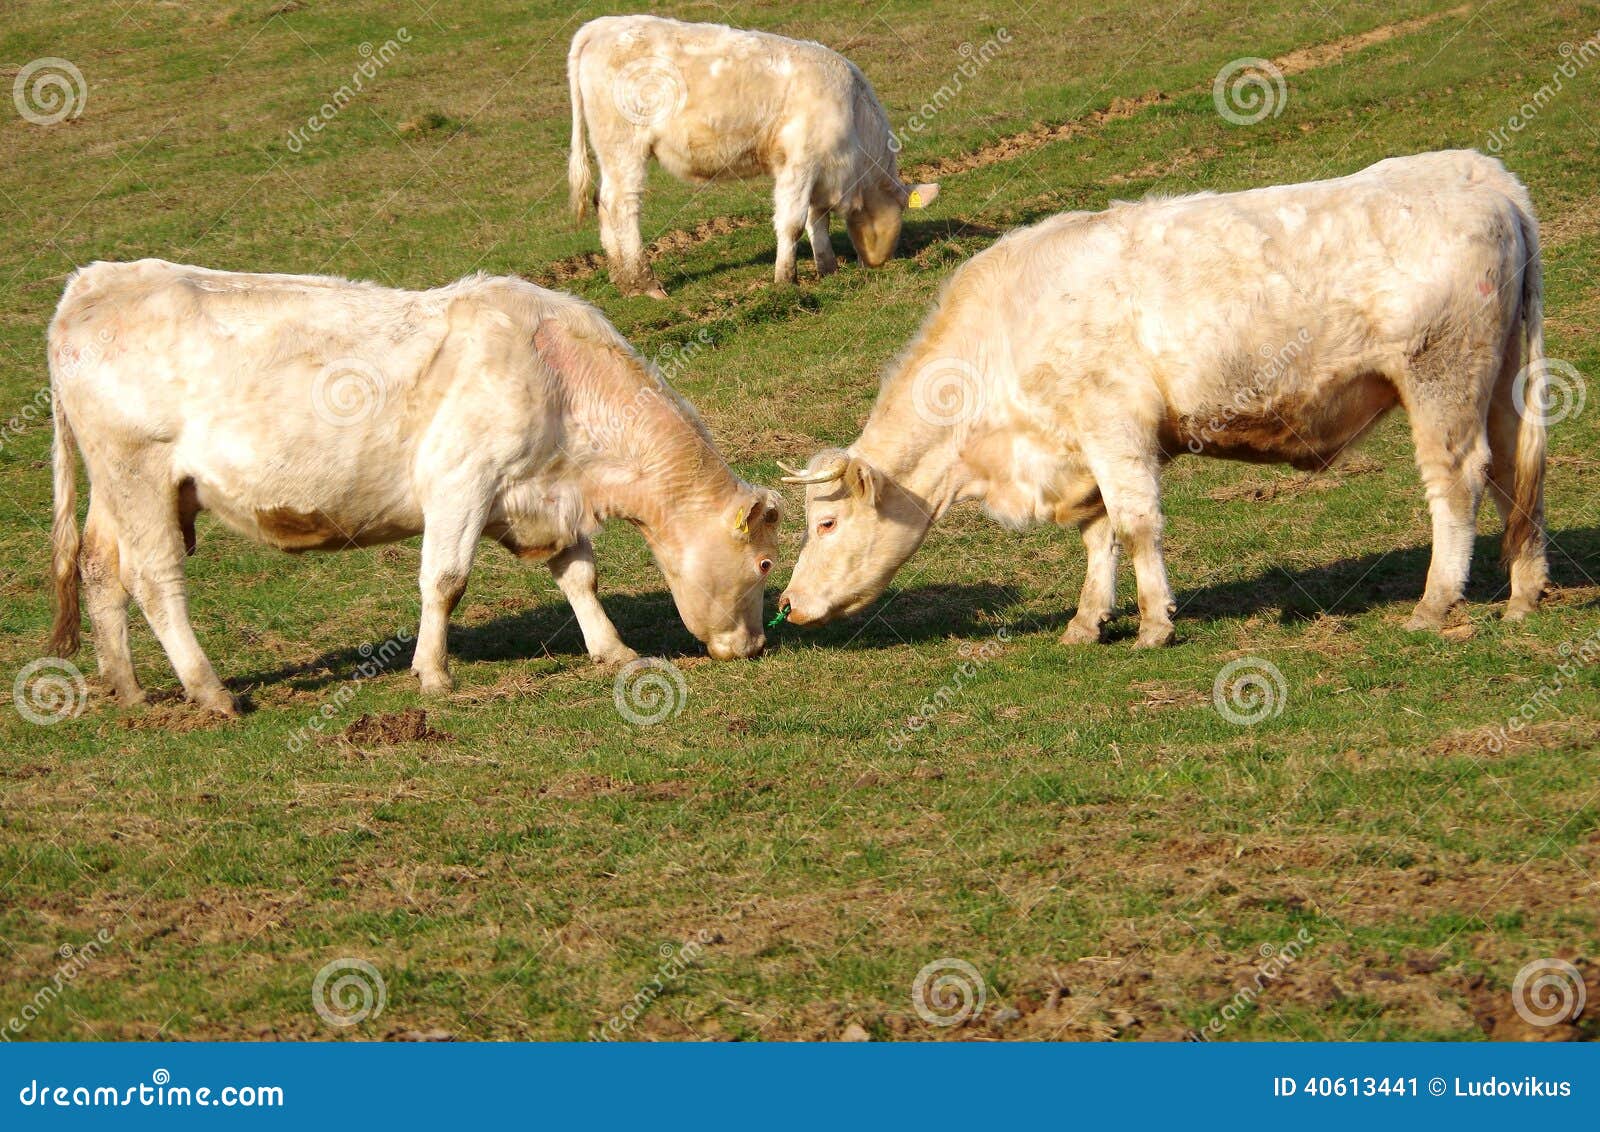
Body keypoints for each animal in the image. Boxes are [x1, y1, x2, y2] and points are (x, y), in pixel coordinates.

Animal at [47, 260, 781, 716]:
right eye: (766, 564)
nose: (756, 646)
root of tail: (90, 283)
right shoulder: (461, 480)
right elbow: (445, 582)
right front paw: (433, 673)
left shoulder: (541, 498)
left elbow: (580, 576)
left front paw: (613, 651)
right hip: (140, 474)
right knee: (155, 579)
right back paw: (210, 691)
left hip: (119, 490)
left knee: (99, 569)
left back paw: (127, 688)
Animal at [566, 14, 940, 297]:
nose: (876, 264)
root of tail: (603, 24)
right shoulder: (798, 161)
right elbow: (792, 223)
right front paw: (785, 280)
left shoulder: (820, 171)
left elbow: (817, 219)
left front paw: (828, 268)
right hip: (625, 144)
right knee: (621, 204)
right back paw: (644, 282)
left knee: (603, 202)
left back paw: (623, 280)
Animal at [777, 151, 1550, 645]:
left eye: (826, 524)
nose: (787, 602)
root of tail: (1484, 175)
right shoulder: (1080, 449)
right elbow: (1099, 531)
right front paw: (1087, 622)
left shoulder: (1113, 426)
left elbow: (1136, 522)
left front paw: (1152, 623)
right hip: (1503, 384)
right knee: (1517, 477)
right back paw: (1523, 594)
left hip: (1441, 377)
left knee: (1458, 482)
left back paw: (1435, 604)